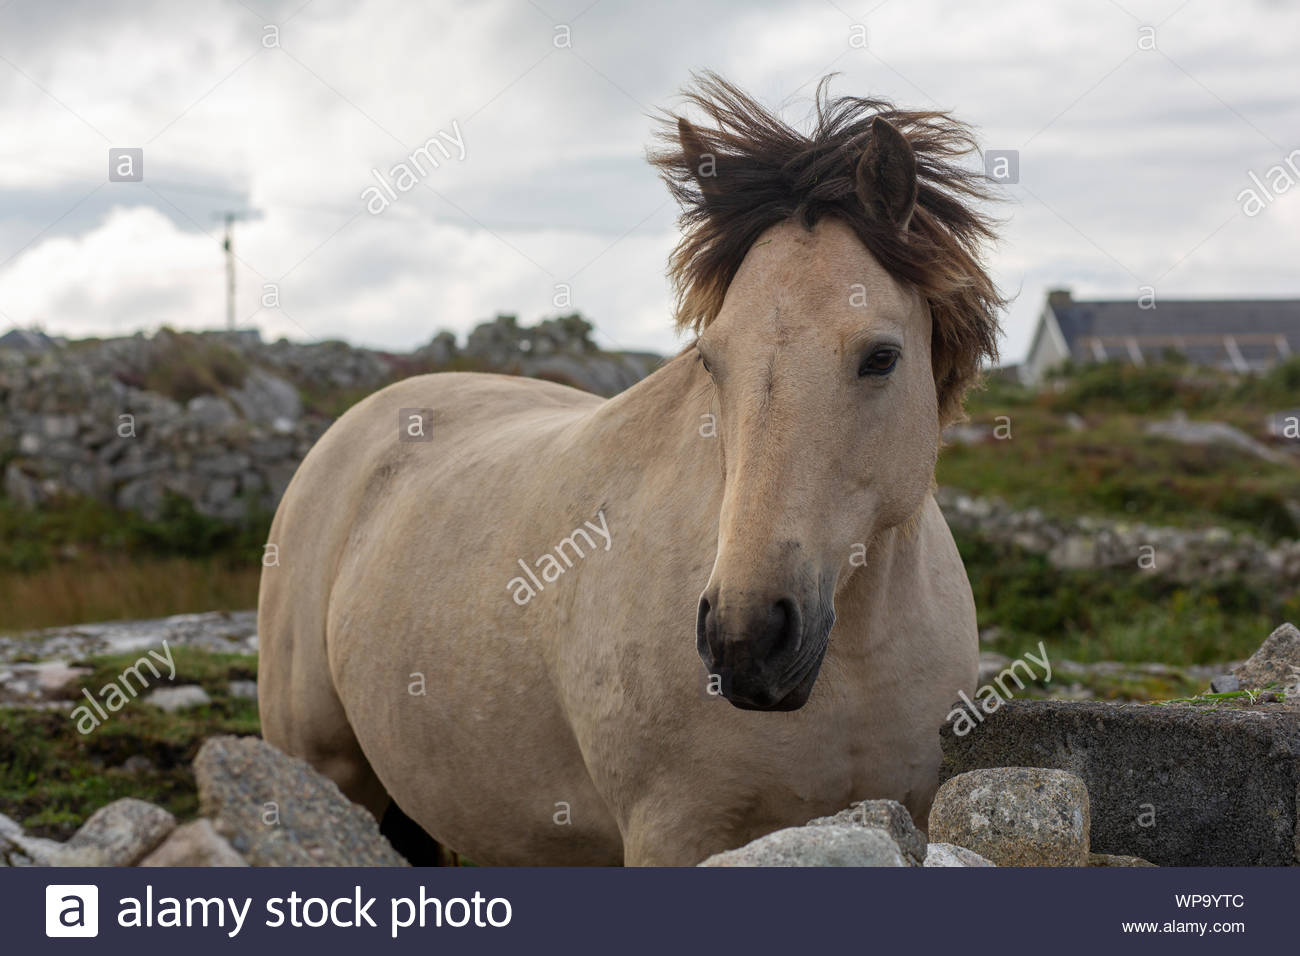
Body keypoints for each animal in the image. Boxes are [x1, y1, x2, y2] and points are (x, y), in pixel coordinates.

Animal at [258, 74, 1004, 866]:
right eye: (710, 360)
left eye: (881, 357)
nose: (745, 639)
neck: (855, 658)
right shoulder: (675, 832)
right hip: (323, 768)